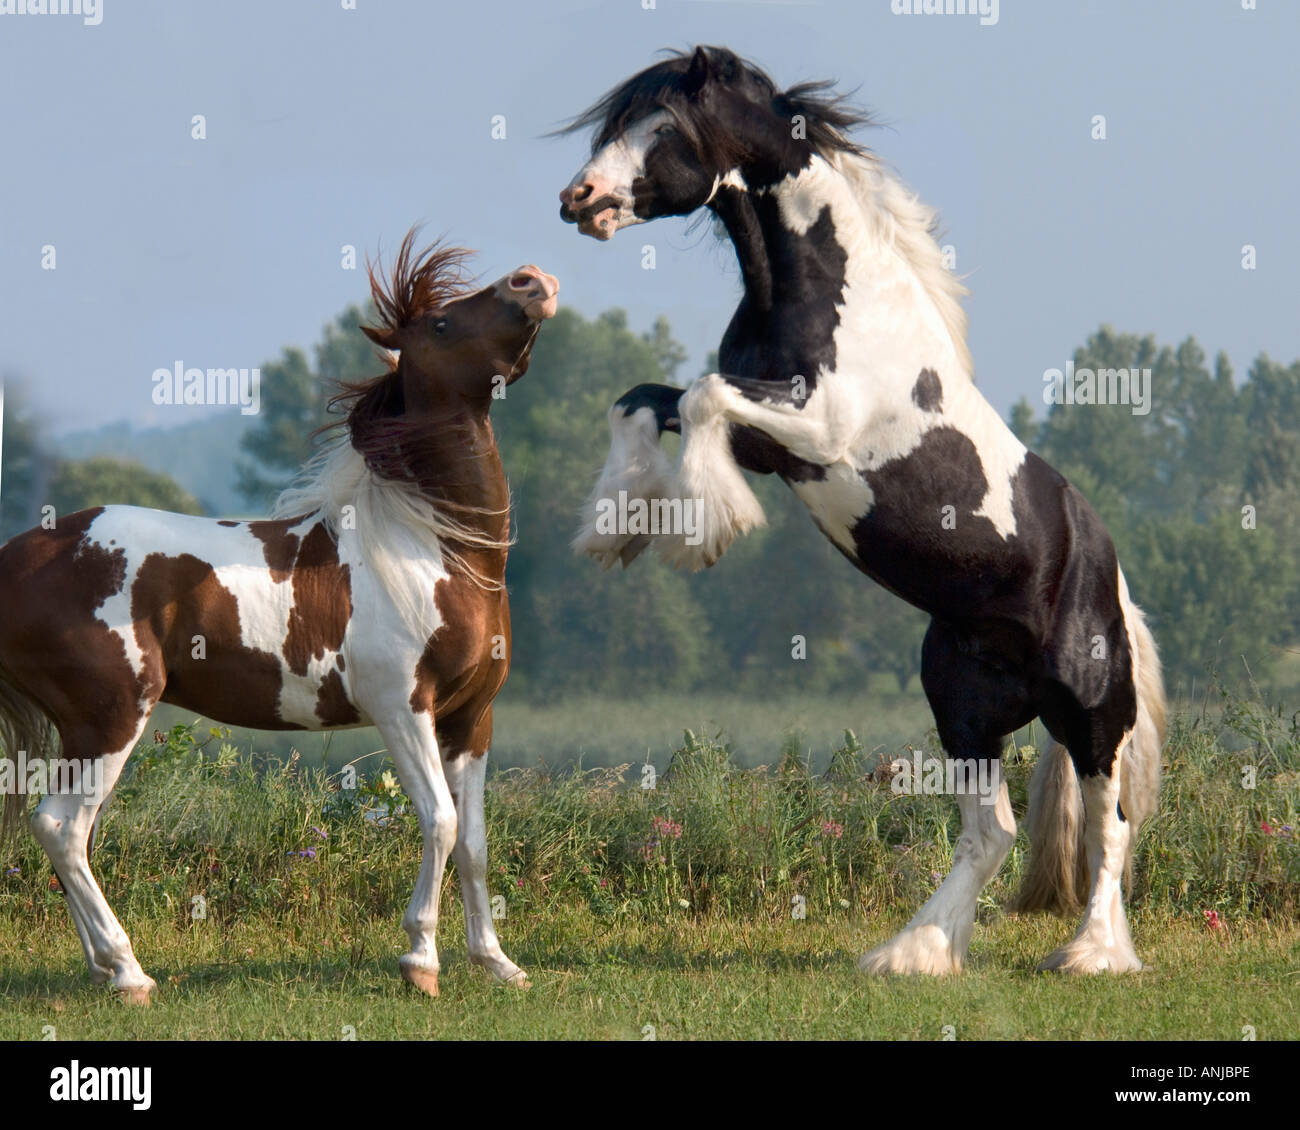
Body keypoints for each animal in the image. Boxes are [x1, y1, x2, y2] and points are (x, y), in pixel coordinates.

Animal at [0, 231, 559, 1003]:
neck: (432, 546)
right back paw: (130, 971)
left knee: (71, 832)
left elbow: (473, 840)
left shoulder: (470, 719)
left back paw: (102, 968)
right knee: (60, 827)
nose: (533, 280)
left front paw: (496, 962)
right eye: (443, 323)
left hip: (84, 730)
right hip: (110, 719)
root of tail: (19, 557)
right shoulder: (402, 708)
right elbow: (440, 823)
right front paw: (420, 961)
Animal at [559, 46, 1164, 976]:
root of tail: (1111, 580)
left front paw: (701, 528)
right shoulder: (766, 440)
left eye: (662, 127)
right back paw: (912, 953)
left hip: (1091, 708)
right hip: (963, 705)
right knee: (991, 832)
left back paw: (1090, 954)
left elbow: (700, 396)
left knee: (1111, 824)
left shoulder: (821, 431)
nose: (579, 200)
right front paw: (617, 526)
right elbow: (645, 399)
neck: (827, 293)